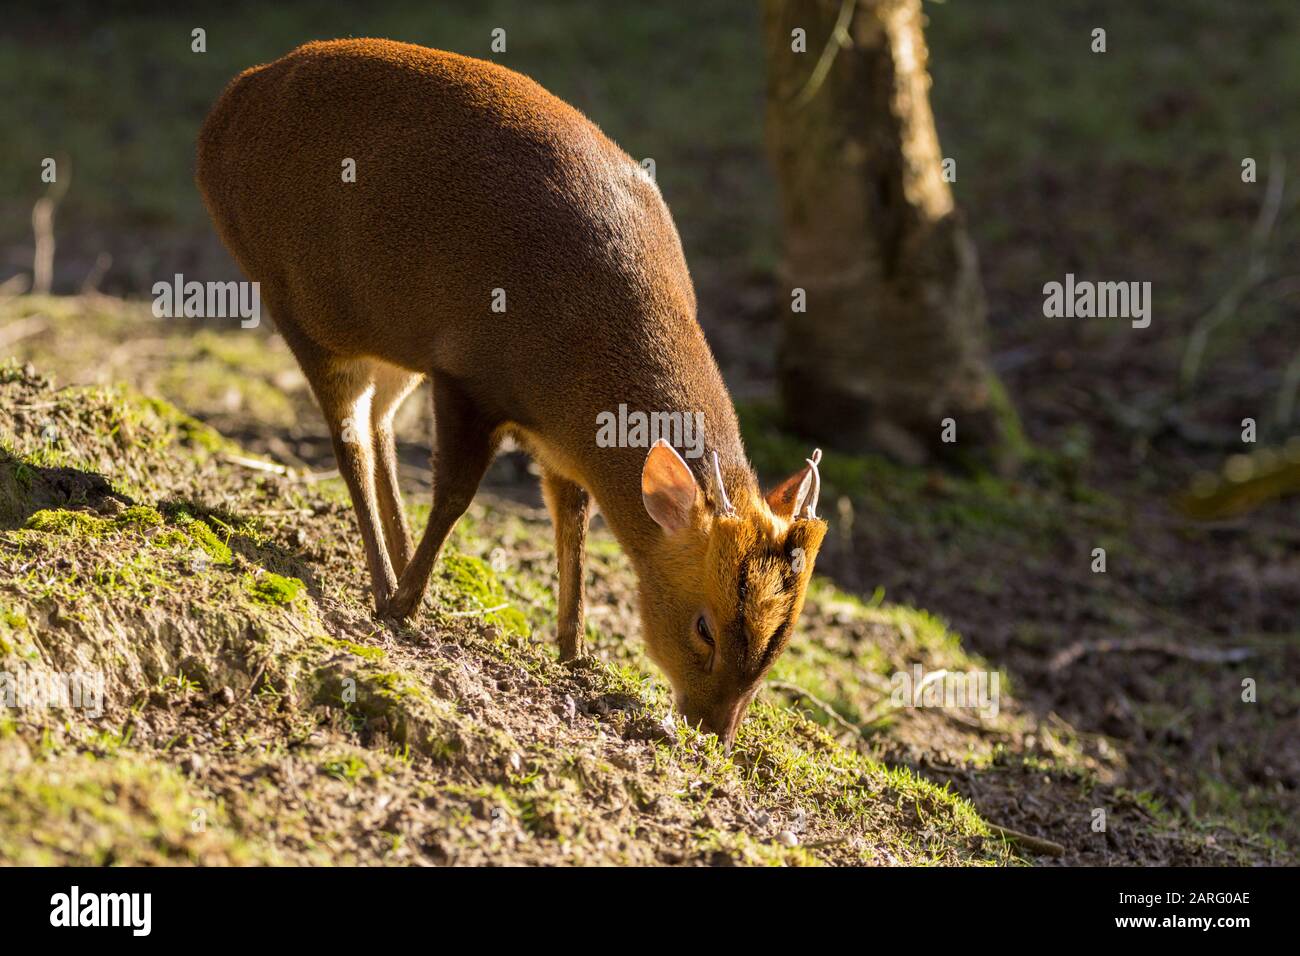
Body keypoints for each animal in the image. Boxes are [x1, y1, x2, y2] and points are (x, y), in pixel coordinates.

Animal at [196, 39, 827, 749]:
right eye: (704, 629)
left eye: (779, 644)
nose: (713, 731)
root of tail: (226, 107)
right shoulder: (470, 375)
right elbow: (454, 494)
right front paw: (407, 606)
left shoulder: (555, 441)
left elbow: (572, 522)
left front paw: (573, 651)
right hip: (300, 307)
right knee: (350, 439)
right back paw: (387, 585)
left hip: (393, 349)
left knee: (380, 426)